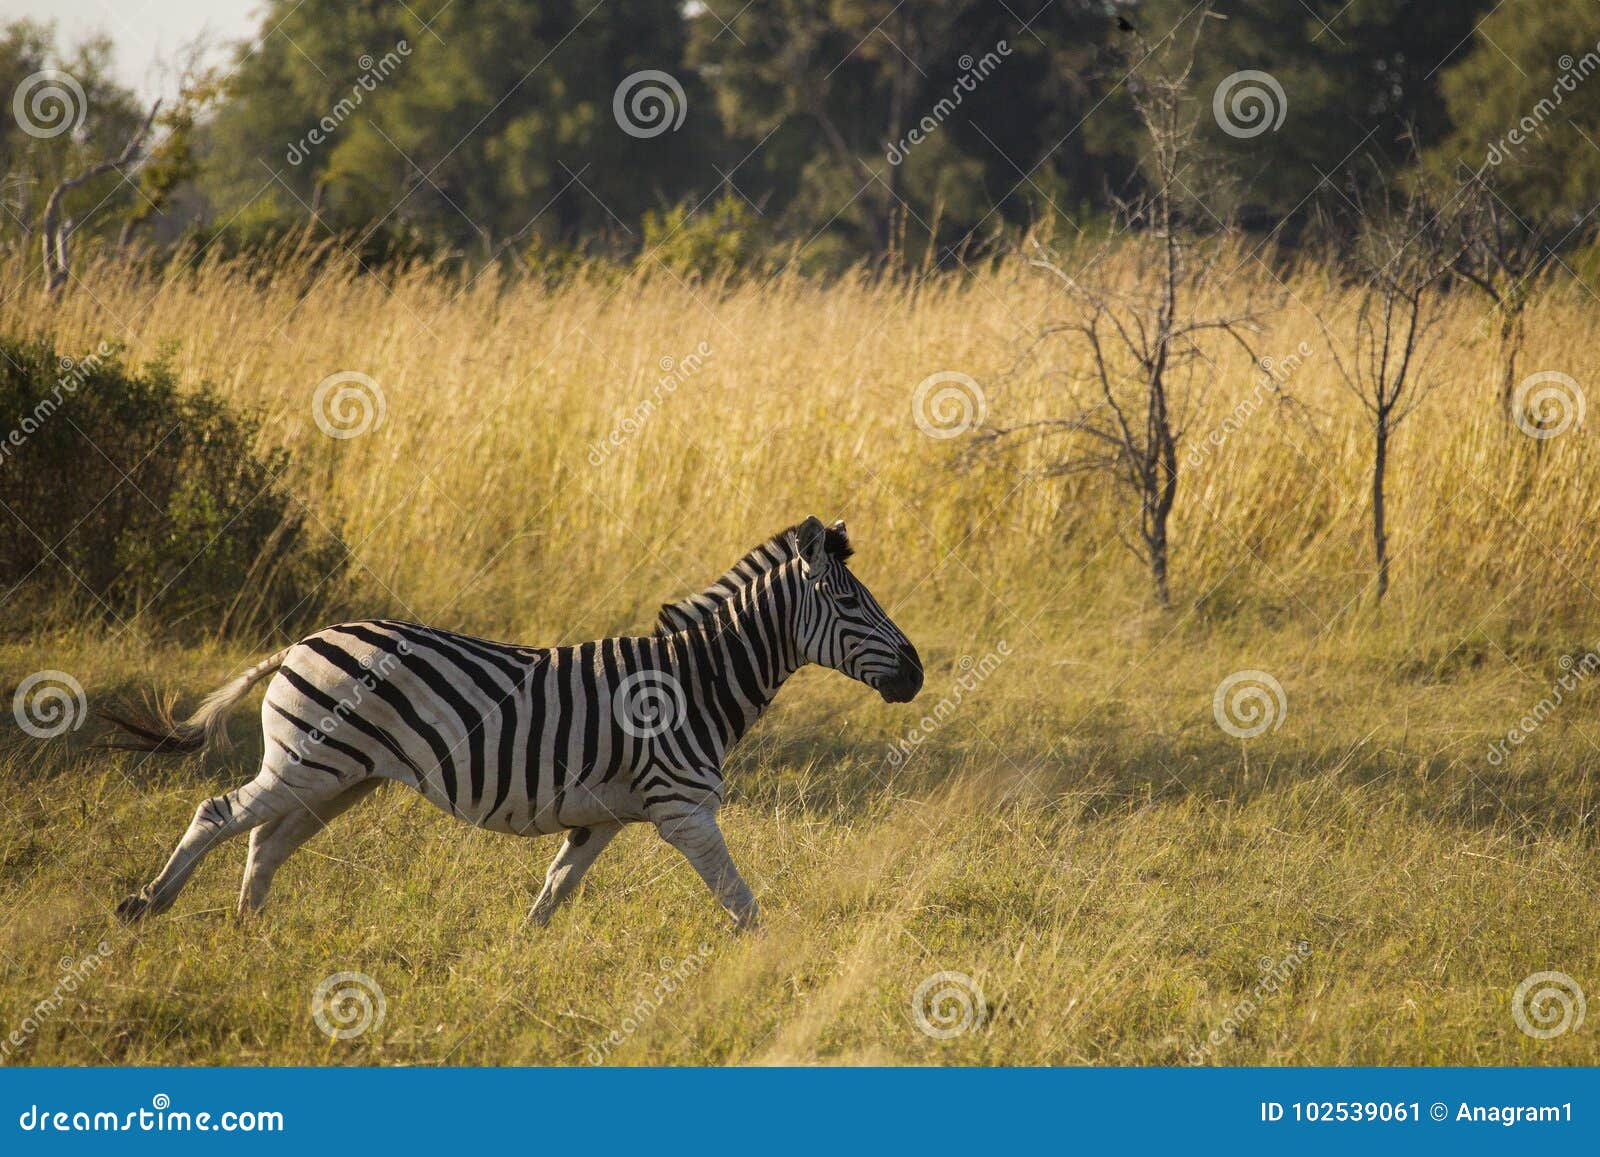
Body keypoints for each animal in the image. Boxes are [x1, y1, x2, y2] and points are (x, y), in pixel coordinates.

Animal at [105, 516, 922, 931]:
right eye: (849, 602)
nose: (916, 674)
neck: (697, 680)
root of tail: (300, 641)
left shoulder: (601, 818)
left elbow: (554, 893)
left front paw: (522, 955)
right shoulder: (685, 810)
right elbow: (743, 903)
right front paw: (770, 964)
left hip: (339, 776)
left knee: (265, 841)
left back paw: (251, 934)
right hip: (309, 761)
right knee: (217, 813)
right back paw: (147, 907)